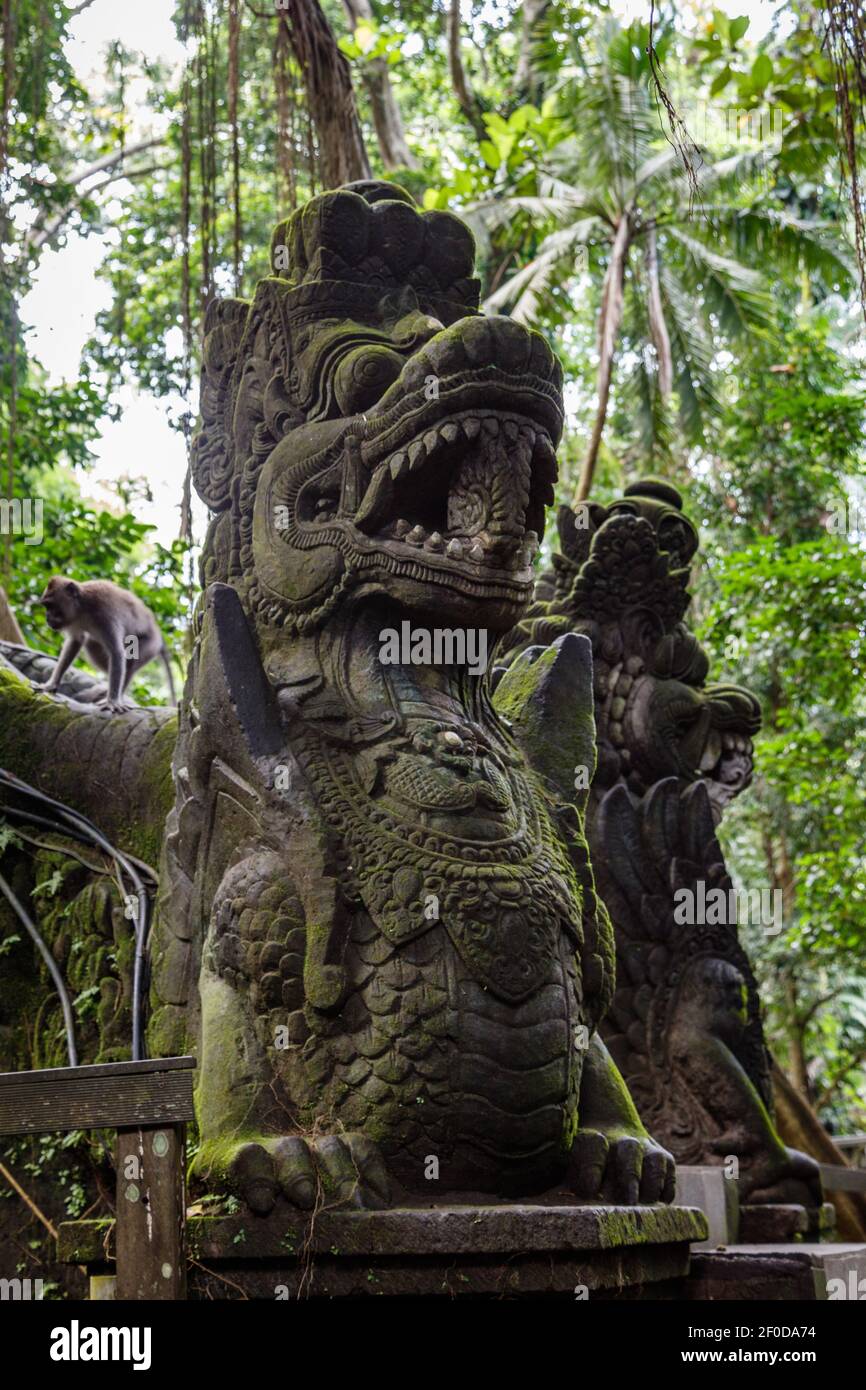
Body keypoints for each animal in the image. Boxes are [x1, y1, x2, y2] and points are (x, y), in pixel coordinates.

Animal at [37, 577, 177, 713]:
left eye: (50, 605)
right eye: (46, 606)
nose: (47, 618)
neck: (82, 607)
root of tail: (158, 631)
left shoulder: (104, 615)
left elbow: (116, 652)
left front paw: (112, 702)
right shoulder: (74, 620)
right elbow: (76, 640)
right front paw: (51, 684)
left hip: (151, 643)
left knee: (130, 660)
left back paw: (117, 696)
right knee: (91, 643)